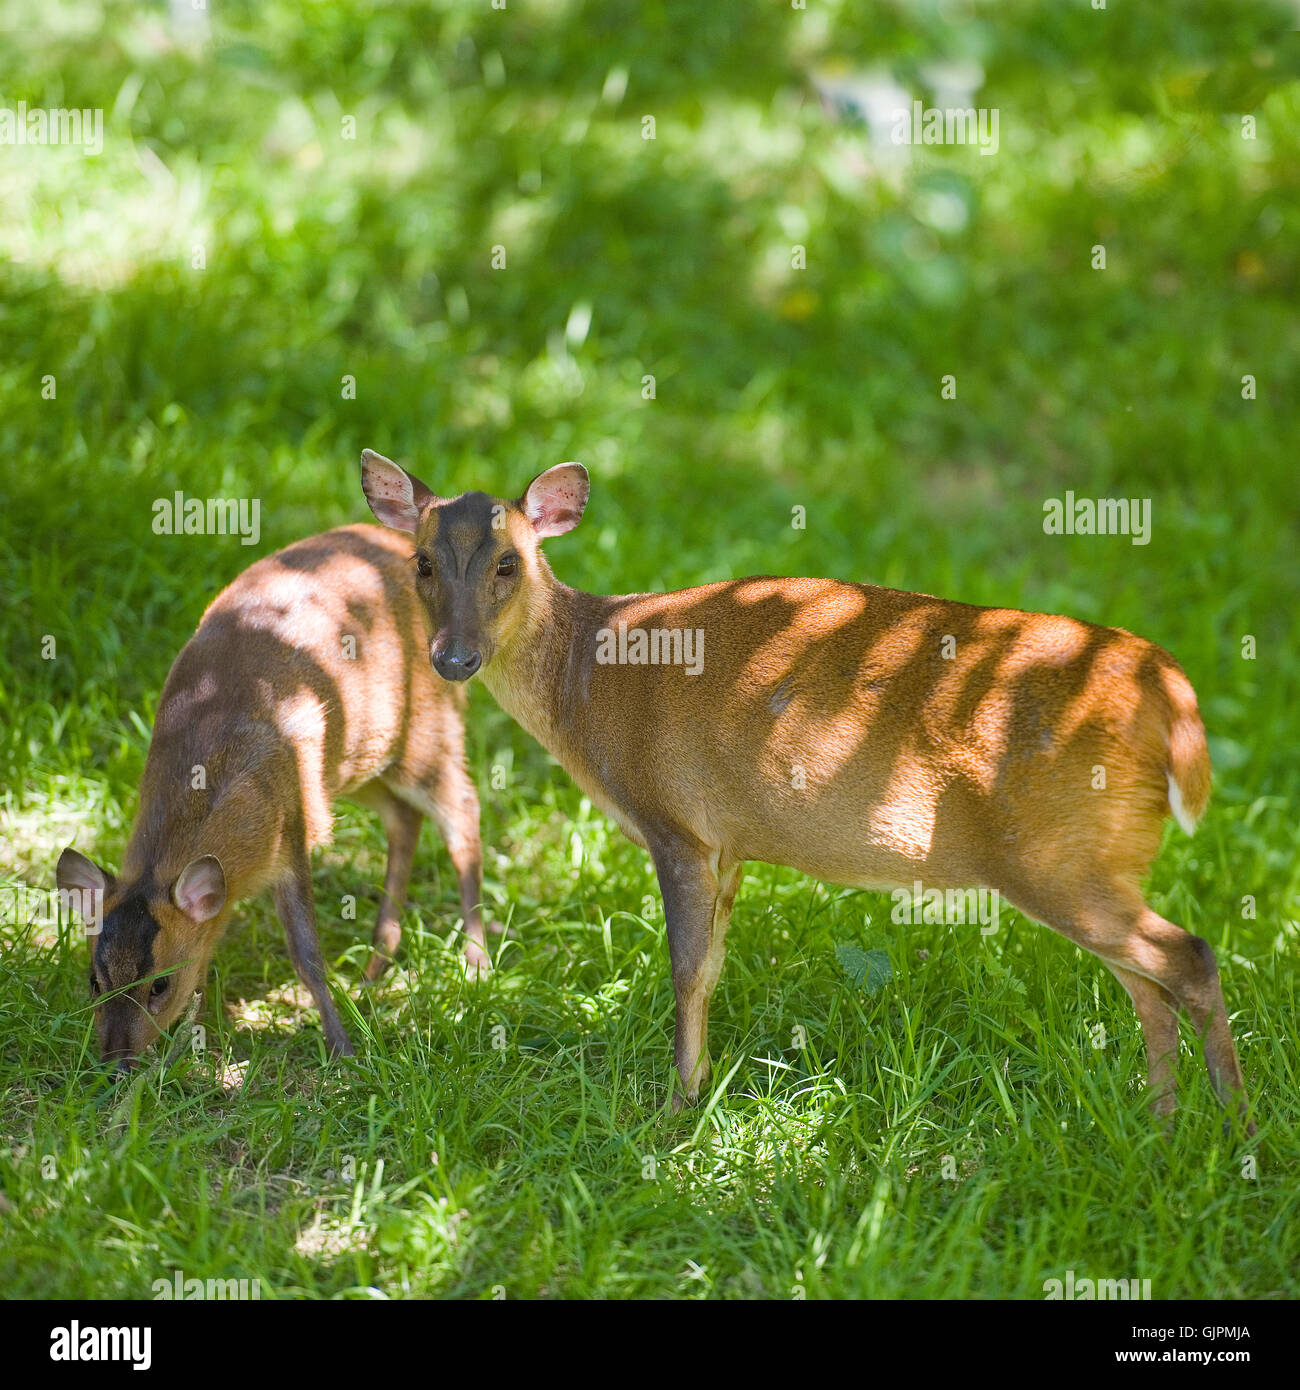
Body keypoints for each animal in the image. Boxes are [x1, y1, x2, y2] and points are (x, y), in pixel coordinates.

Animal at [56, 524, 491, 1071]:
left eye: (159, 985)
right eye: (95, 981)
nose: (115, 1066)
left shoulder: (292, 832)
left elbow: (307, 958)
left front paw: (343, 1050)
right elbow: (208, 961)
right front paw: (197, 1049)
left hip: (427, 727)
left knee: (463, 812)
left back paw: (476, 961)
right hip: (359, 763)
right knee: (405, 818)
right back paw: (375, 966)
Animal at [359, 450, 1254, 1132]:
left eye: (509, 564)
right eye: (423, 563)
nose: (454, 658)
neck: (589, 676)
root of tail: (1170, 698)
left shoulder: (675, 821)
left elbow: (684, 968)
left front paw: (673, 1107)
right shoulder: (729, 843)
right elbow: (713, 966)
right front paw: (700, 1086)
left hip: (1056, 851)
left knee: (1189, 956)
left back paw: (1235, 1130)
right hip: (1091, 858)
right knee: (1149, 983)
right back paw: (1162, 1120)